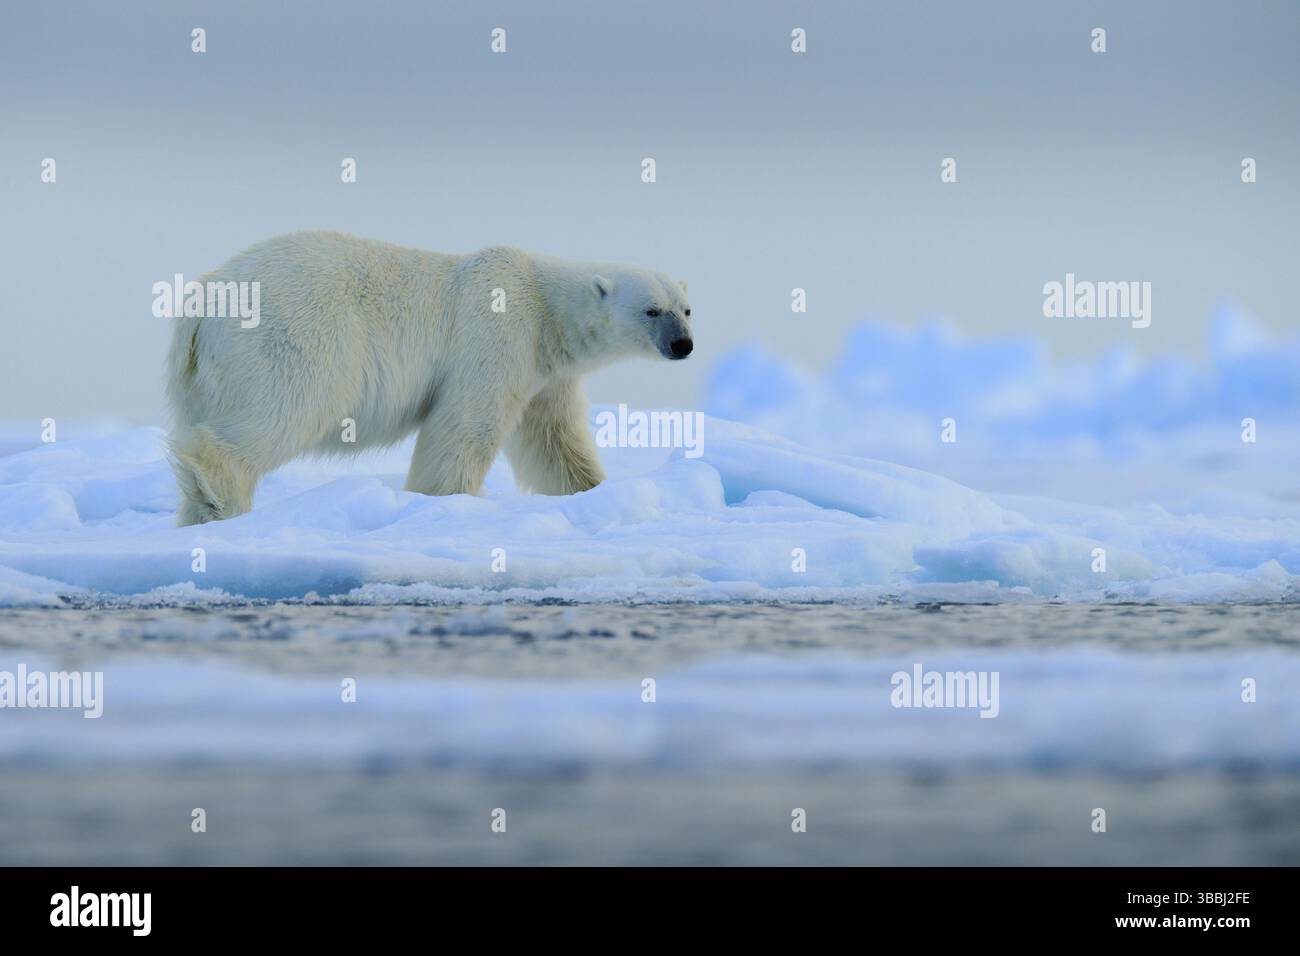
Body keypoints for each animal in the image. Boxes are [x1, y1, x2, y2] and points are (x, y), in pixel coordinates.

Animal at [164, 231, 692, 525]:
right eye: (652, 310)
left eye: (686, 308)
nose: (683, 345)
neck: (545, 305)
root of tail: (206, 297)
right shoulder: (498, 335)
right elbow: (466, 424)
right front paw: (442, 500)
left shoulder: (548, 373)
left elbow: (553, 439)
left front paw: (592, 491)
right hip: (293, 335)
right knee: (285, 407)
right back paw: (223, 496)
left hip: (200, 376)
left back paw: (198, 512)